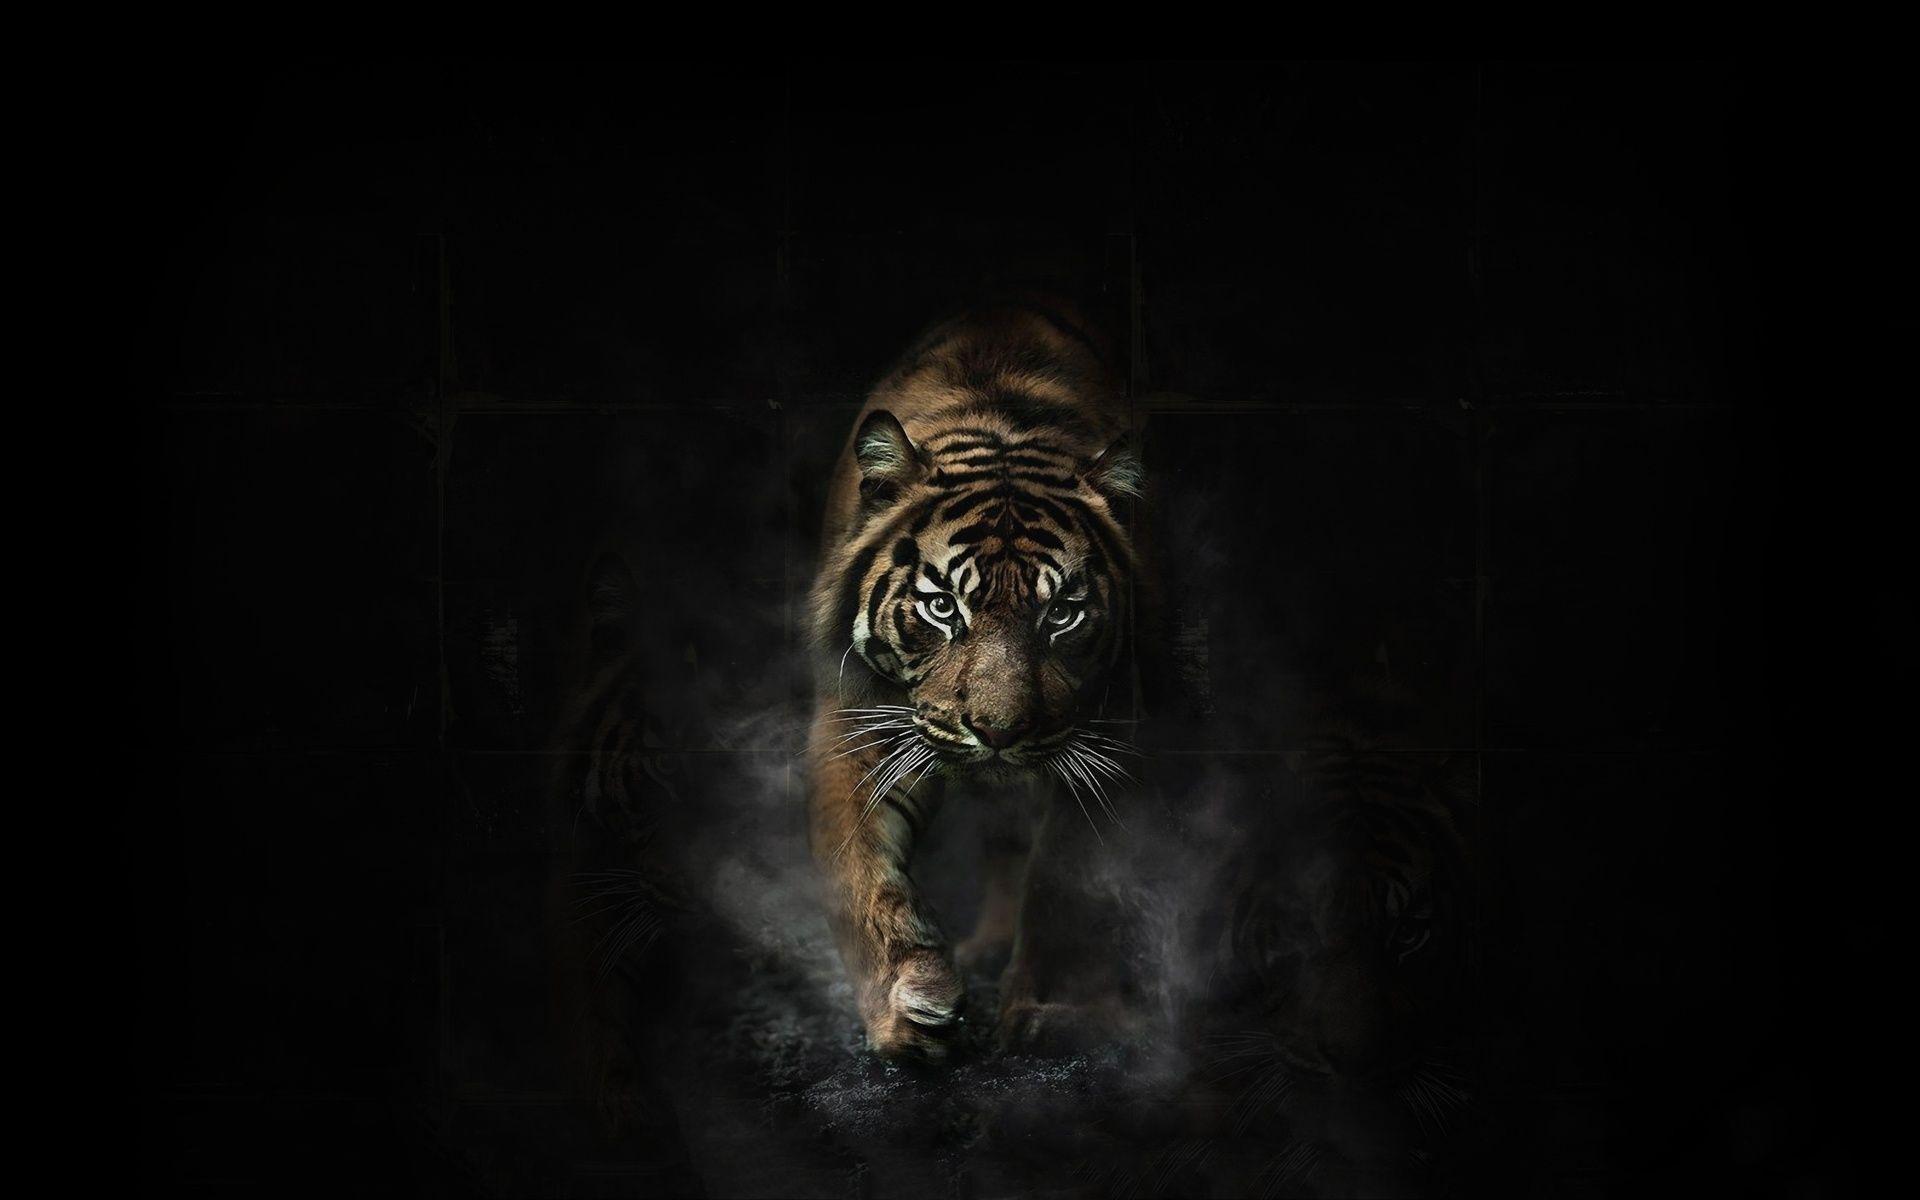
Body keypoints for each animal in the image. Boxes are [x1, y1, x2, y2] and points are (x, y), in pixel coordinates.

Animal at [804, 300, 1149, 1062]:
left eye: (1062, 613)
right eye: (942, 607)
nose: (997, 730)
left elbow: (1064, 879)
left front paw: (1051, 1011)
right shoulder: (857, 716)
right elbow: (858, 871)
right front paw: (908, 1006)